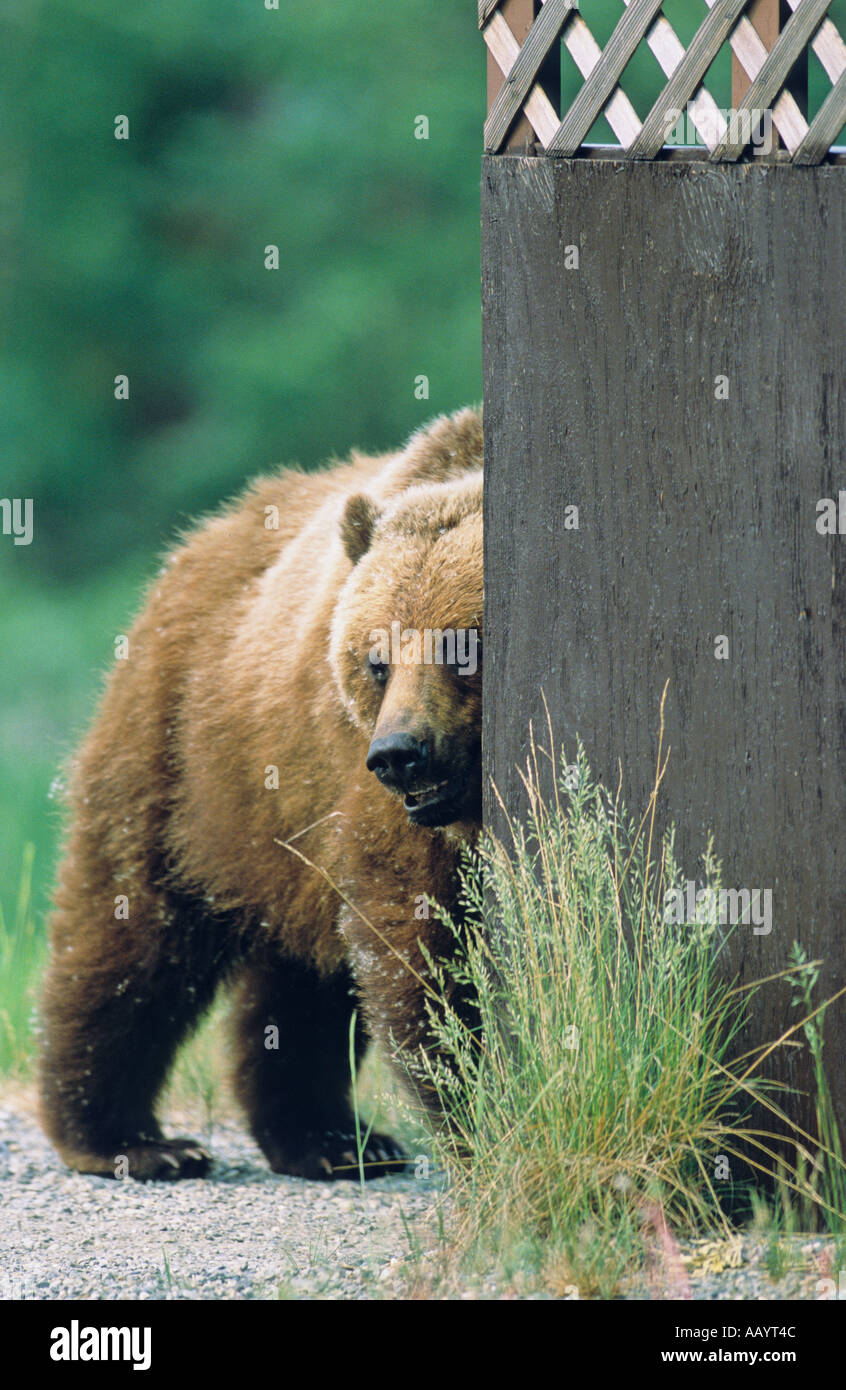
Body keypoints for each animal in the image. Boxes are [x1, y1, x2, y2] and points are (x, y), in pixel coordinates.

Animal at [38, 406, 483, 1181]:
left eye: (461, 648)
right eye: (377, 660)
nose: (401, 755)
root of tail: (200, 535)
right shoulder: (378, 802)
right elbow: (422, 947)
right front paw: (485, 1103)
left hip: (285, 821)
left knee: (297, 981)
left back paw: (327, 1138)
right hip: (187, 751)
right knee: (133, 926)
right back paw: (130, 1139)